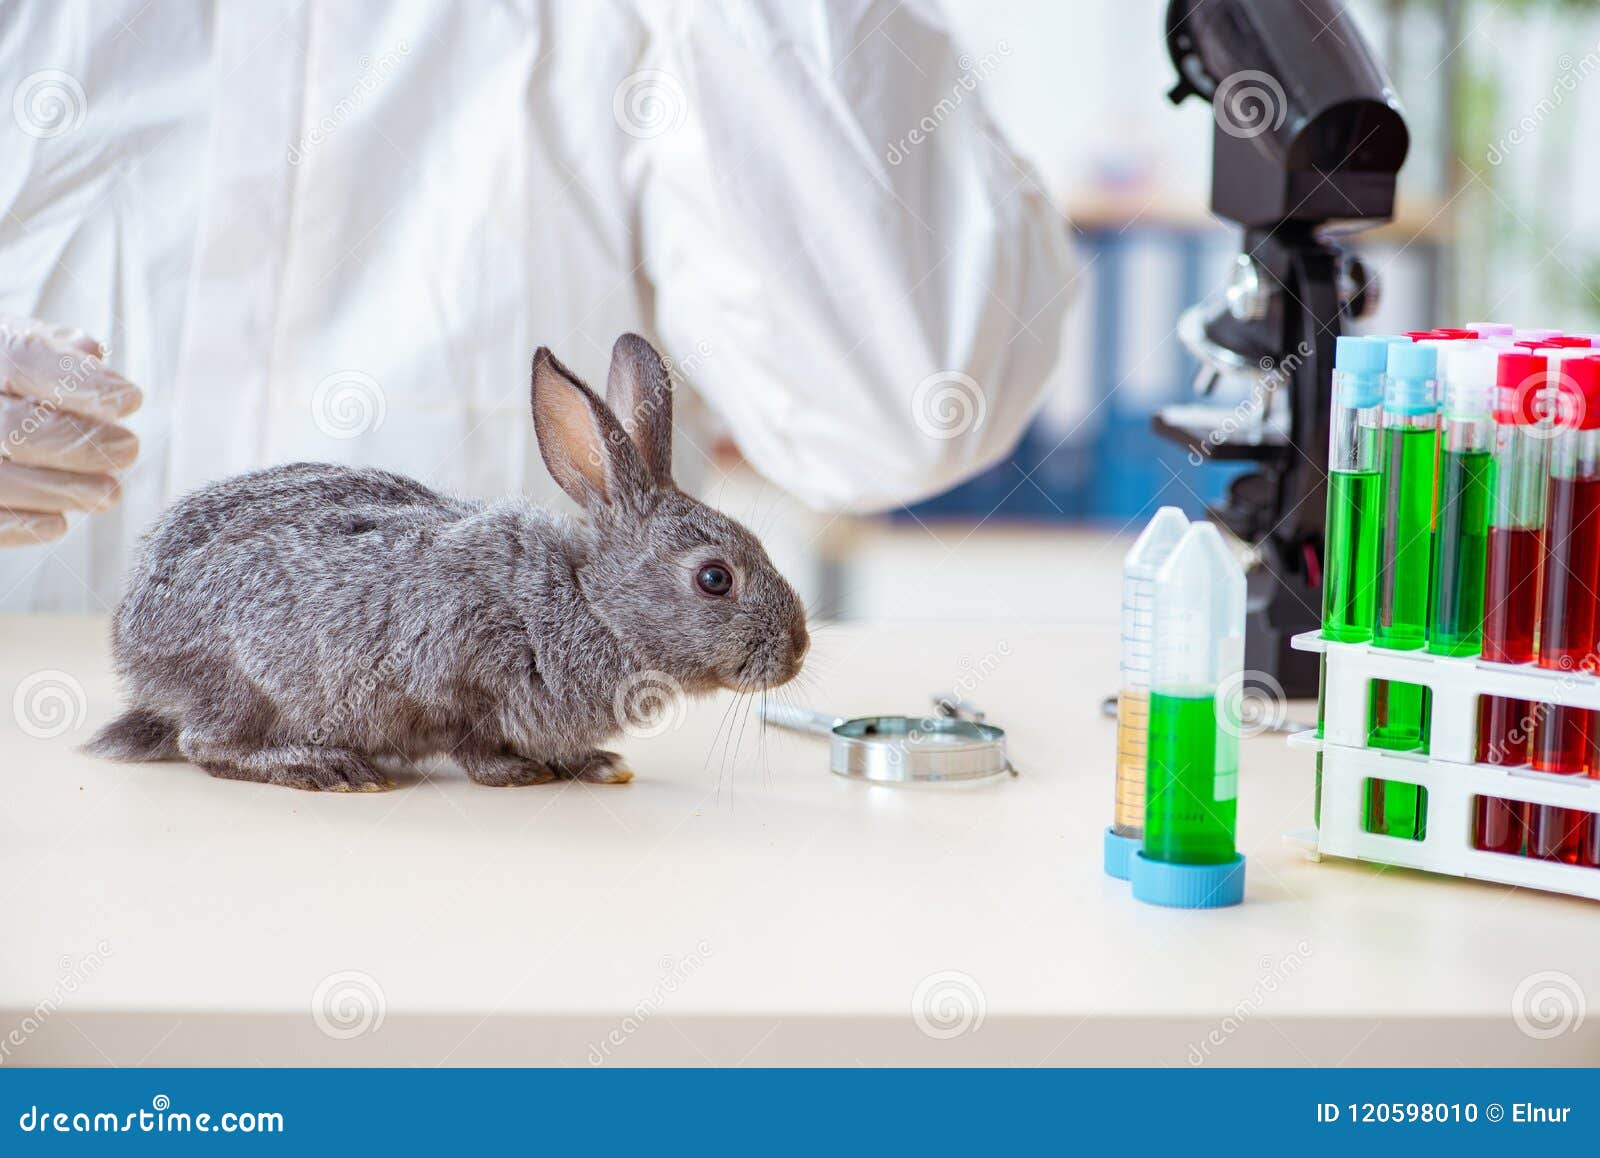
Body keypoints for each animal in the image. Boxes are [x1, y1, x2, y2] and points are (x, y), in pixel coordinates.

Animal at [85, 333, 809, 791]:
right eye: (715, 578)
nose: (797, 649)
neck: (591, 603)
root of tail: (132, 644)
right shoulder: (454, 676)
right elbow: (471, 741)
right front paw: (517, 773)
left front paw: (594, 763)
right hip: (244, 685)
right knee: (205, 746)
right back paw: (324, 770)